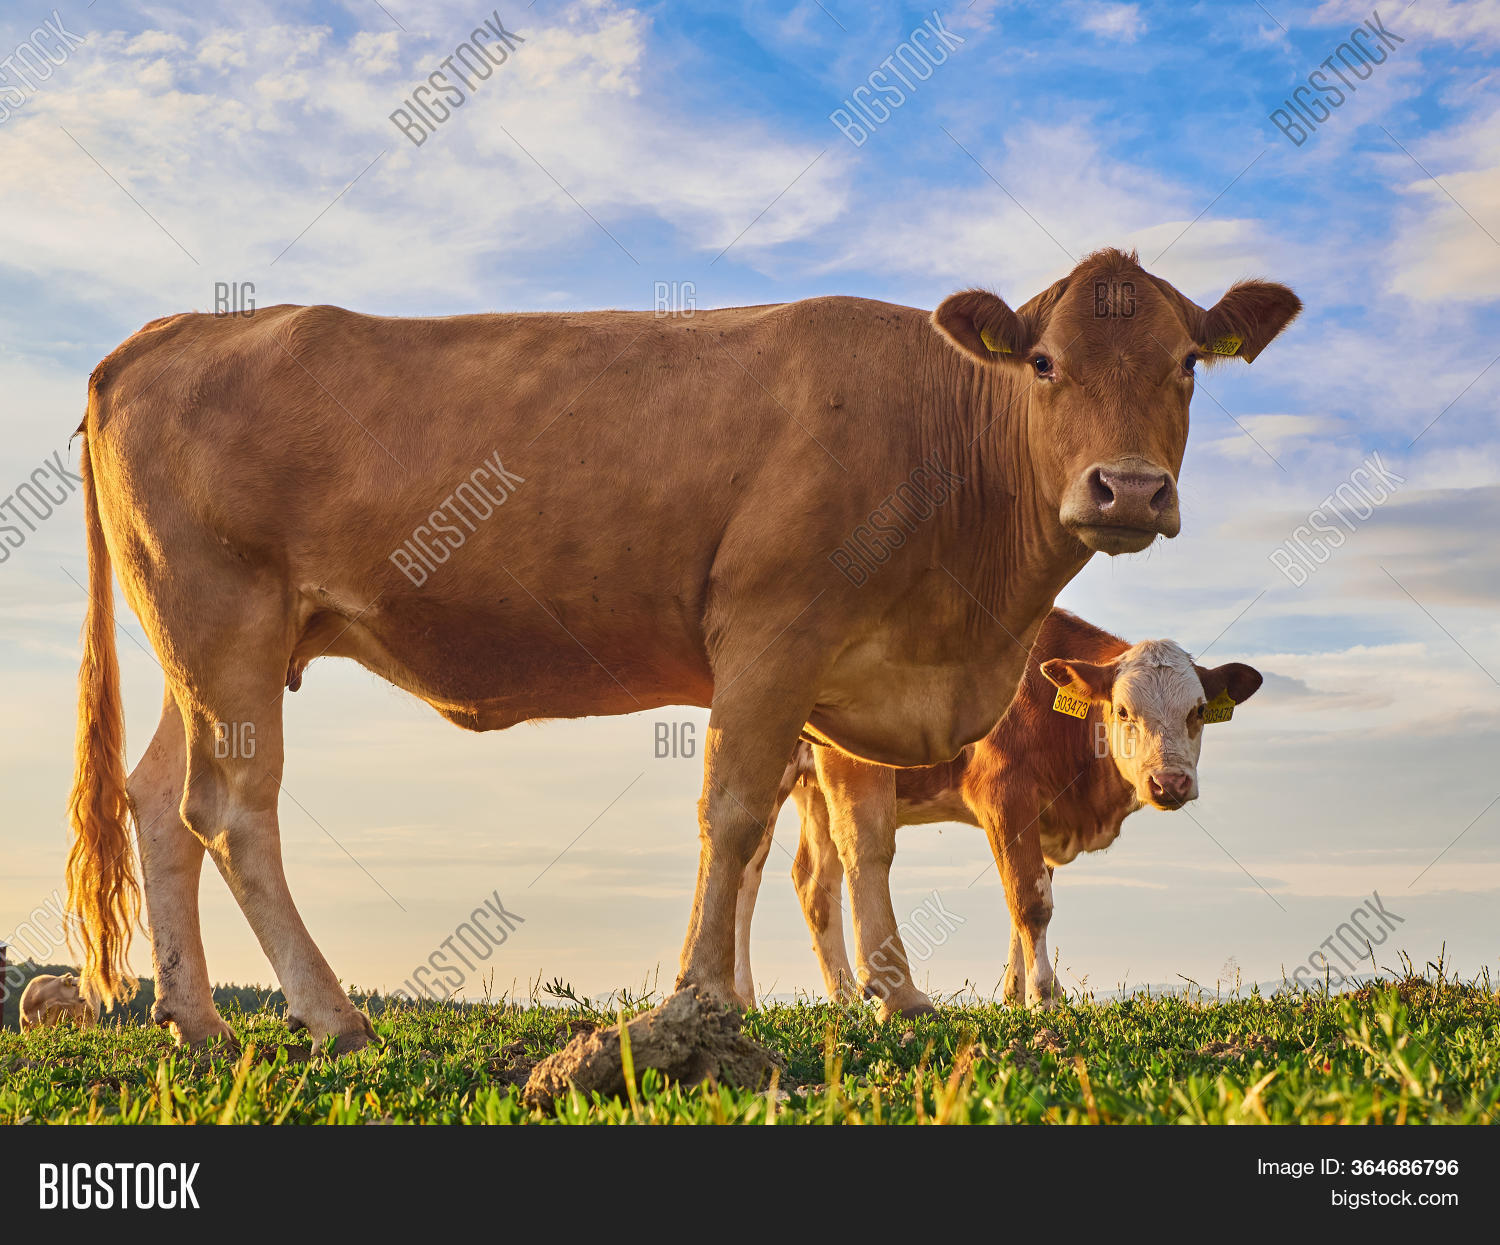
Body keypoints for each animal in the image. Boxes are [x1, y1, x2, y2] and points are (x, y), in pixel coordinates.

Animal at [732, 610, 1264, 1015]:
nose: (1170, 782)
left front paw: (1015, 996)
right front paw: (1045, 998)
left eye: (1198, 711)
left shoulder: (1044, 818)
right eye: (1122, 711)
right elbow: (1030, 902)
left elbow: (1021, 900)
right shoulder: (1005, 795)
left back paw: (842, 999)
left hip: (818, 790)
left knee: (814, 881)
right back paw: (742, 998)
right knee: (745, 874)